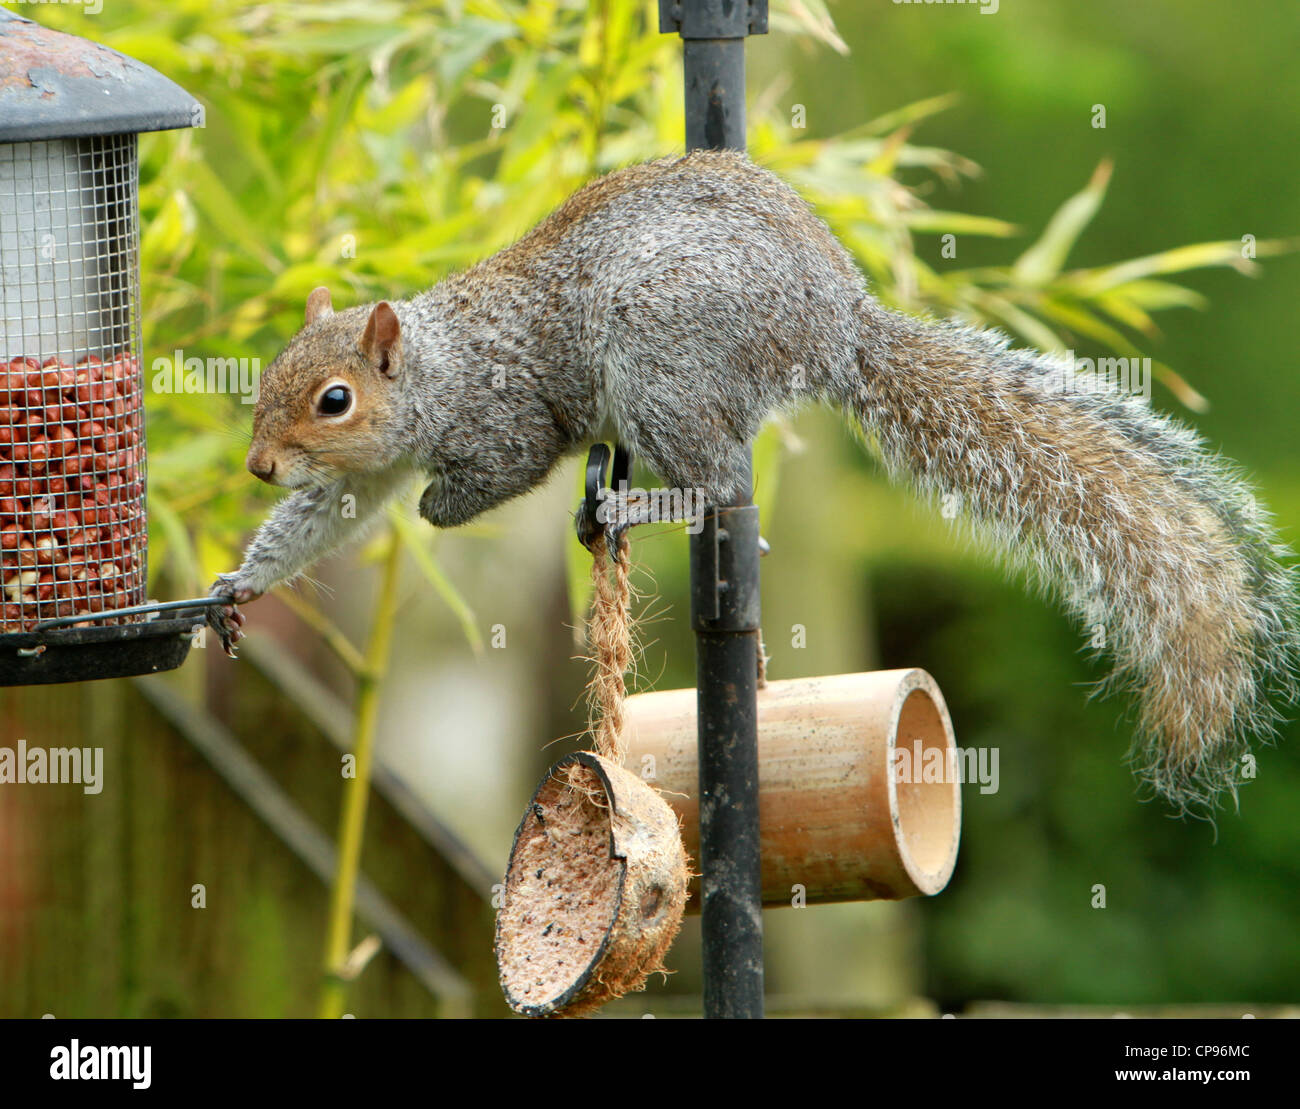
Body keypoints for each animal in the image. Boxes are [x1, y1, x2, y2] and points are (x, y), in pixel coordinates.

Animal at [207, 148, 1297, 815]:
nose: (258, 463)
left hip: (664, 354)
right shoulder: (352, 484)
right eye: (268, 380)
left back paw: (639, 498)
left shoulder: (505, 419)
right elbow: (315, 522)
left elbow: (485, 479)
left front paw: (440, 505)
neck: (435, 373)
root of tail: (835, 324)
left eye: (335, 399)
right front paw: (237, 584)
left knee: (723, 483)